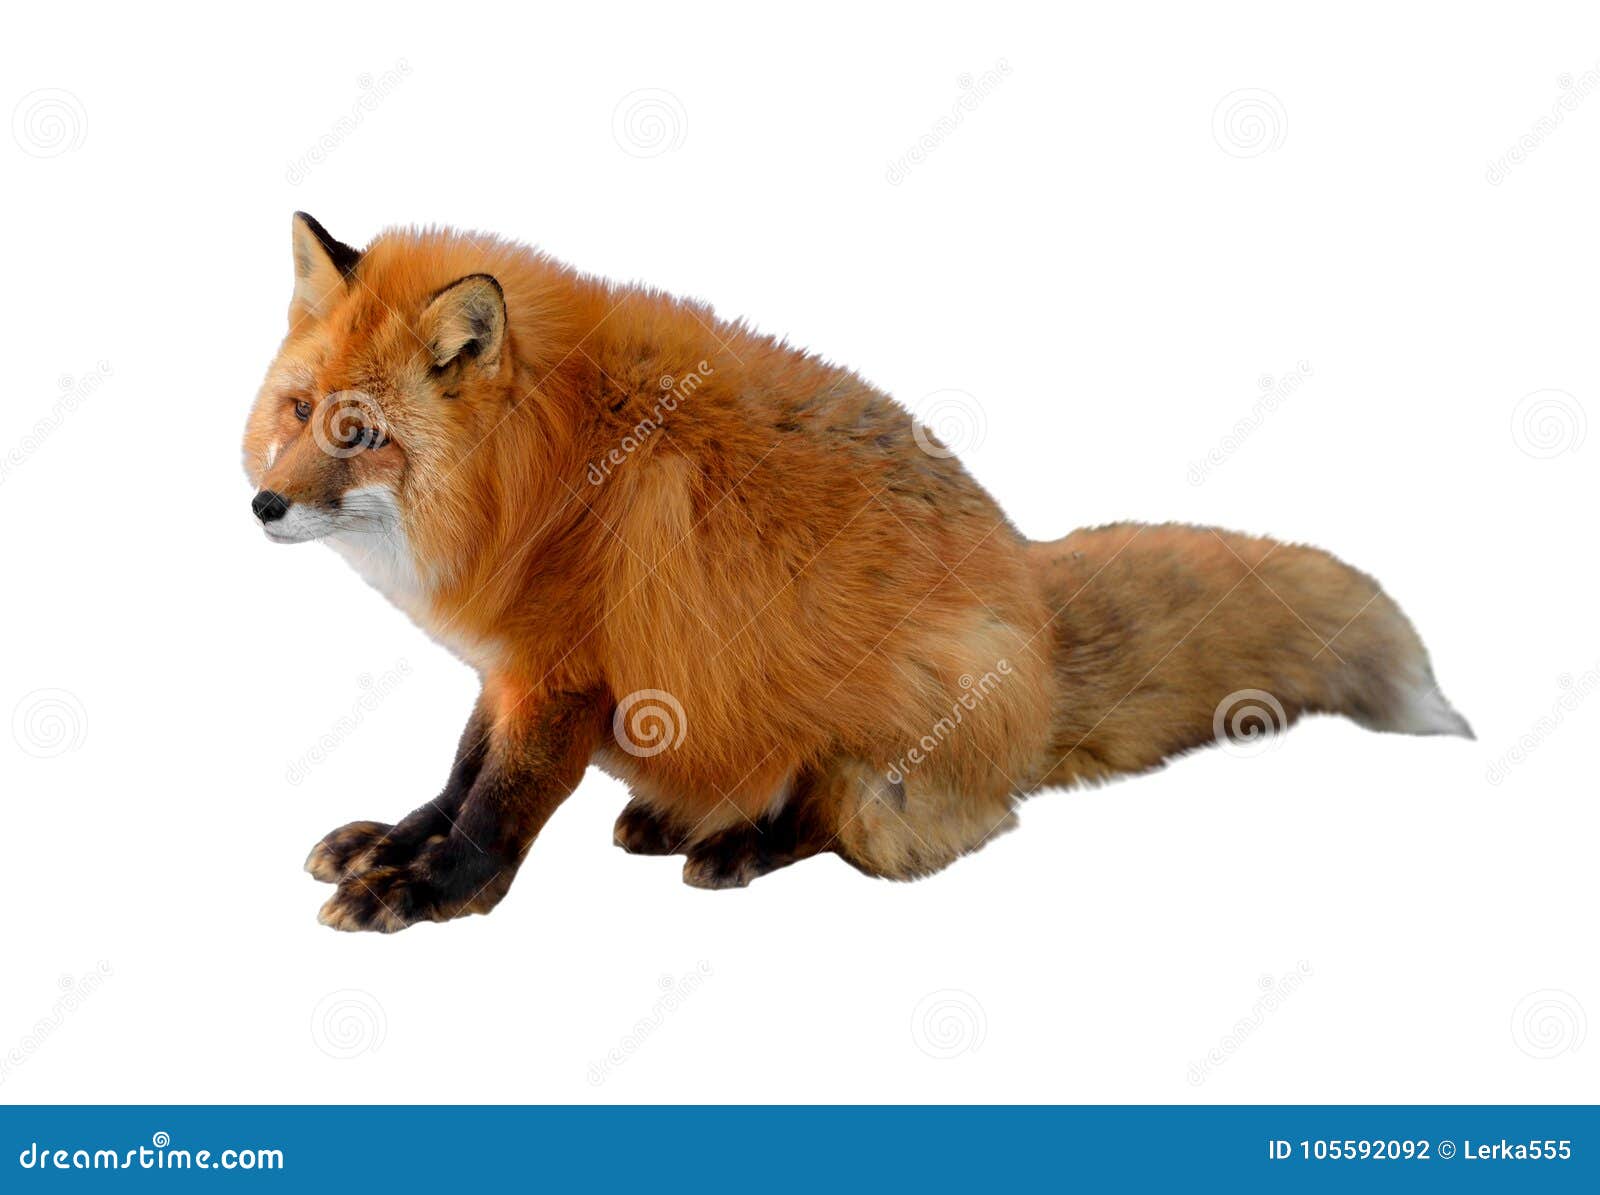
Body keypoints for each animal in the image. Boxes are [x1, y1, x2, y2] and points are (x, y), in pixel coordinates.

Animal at [242, 212, 1471, 932]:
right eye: (300, 412)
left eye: (361, 435)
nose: (263, 504)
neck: (547, 473)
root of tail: (1034, 606)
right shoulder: (511, 674)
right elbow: (457, 777)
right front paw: (394, 843)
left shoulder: (566, 677)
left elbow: (499, 804)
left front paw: (432, 887)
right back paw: (675, 821)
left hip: (880, 757)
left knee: (869, 830)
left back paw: (736, 845)